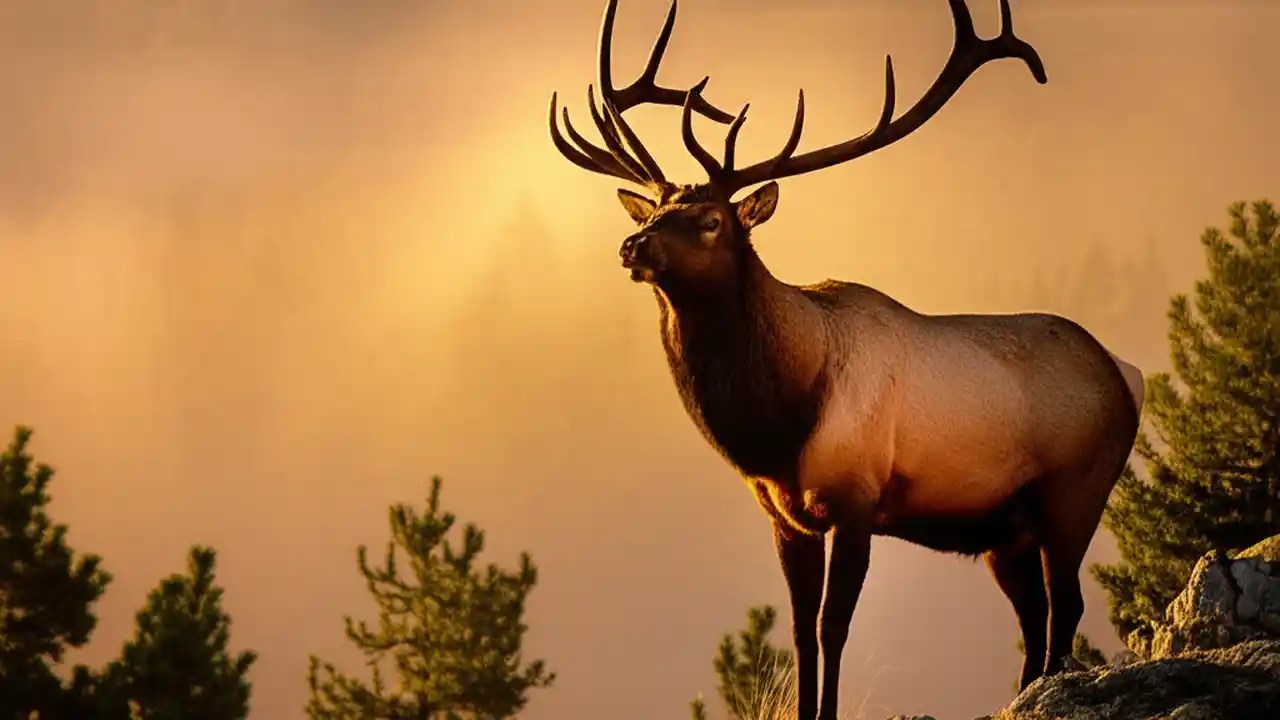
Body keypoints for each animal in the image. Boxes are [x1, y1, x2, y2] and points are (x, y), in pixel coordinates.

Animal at [546, 2, 1144, 719]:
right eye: (657, 209)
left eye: (712, 220)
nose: (632, 245)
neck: (780, 421)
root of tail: (1126, 373)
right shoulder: (784, 514)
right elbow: (801, 631)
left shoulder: (856, 498)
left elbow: (836, 627)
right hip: (1007, 530)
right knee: (1033, 617)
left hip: (1076, 489)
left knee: (1067, 606)